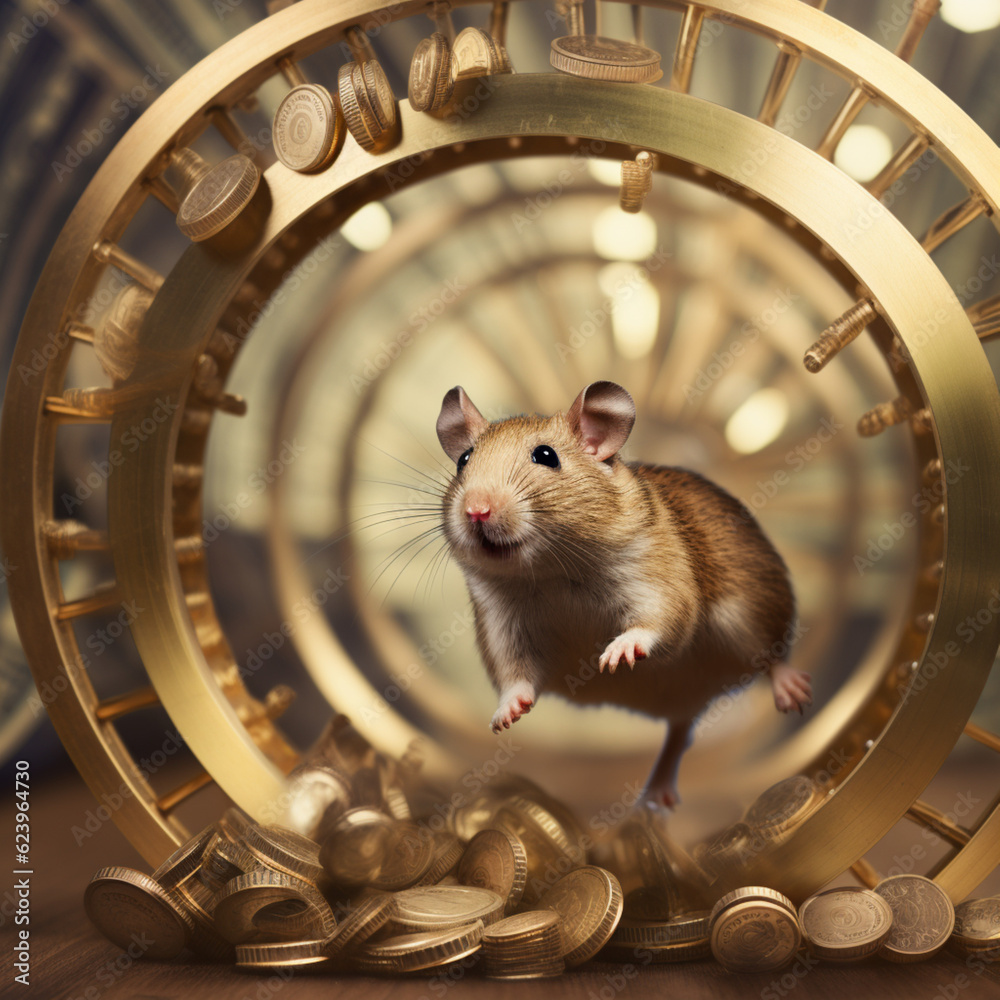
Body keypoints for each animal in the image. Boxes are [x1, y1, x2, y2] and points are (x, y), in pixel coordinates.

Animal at [435, 380, 812, 807]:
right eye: (464, 460)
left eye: (546, 456)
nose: (476, 510)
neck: (551, 570)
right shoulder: (500, 620)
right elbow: (513, 672)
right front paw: (507, 716)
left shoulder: (657, 578)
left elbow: (658, 622)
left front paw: (617, 653)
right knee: (680, 732)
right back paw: (657, 794)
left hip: (748, 618)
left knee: (771, 655)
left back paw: (792, 690)